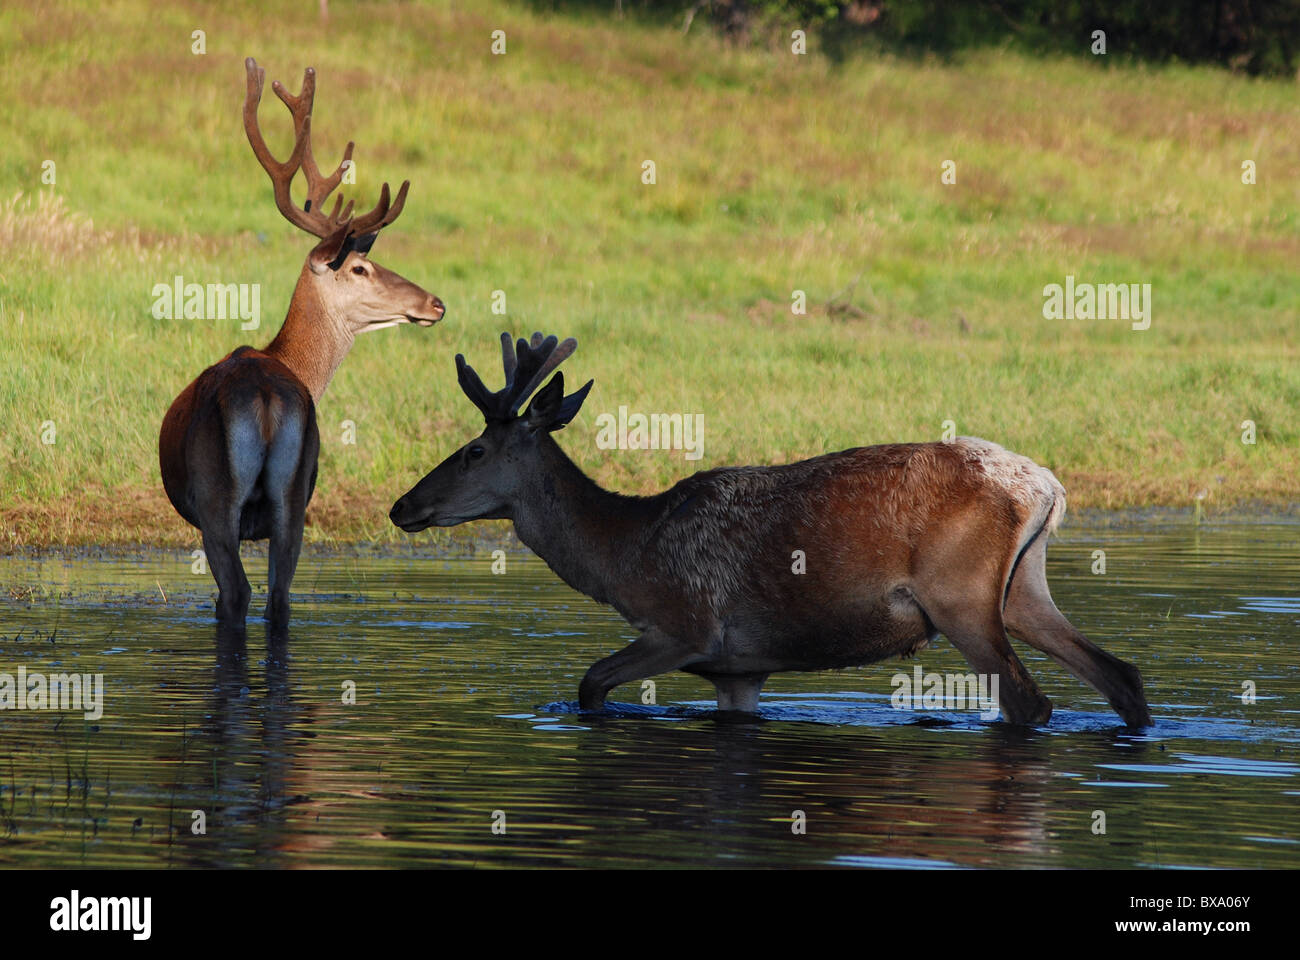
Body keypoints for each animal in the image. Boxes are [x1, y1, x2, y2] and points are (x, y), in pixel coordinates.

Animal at [160, 58, 444, 631]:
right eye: (359, 268)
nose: (435, 303)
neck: (286, 357)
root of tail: (267, 399)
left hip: (217, 494)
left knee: (239, 592)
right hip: (294, 495)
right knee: (279, 596)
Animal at [389, 333, 1154, 728]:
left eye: (474, 450)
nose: (401, 507)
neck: (625, 557)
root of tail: (1047, 486)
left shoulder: (687, 623)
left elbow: (589, 683)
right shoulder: (742, 668)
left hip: (961, 597)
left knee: (1031, 701)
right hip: (1022, 589)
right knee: (1121, 674)